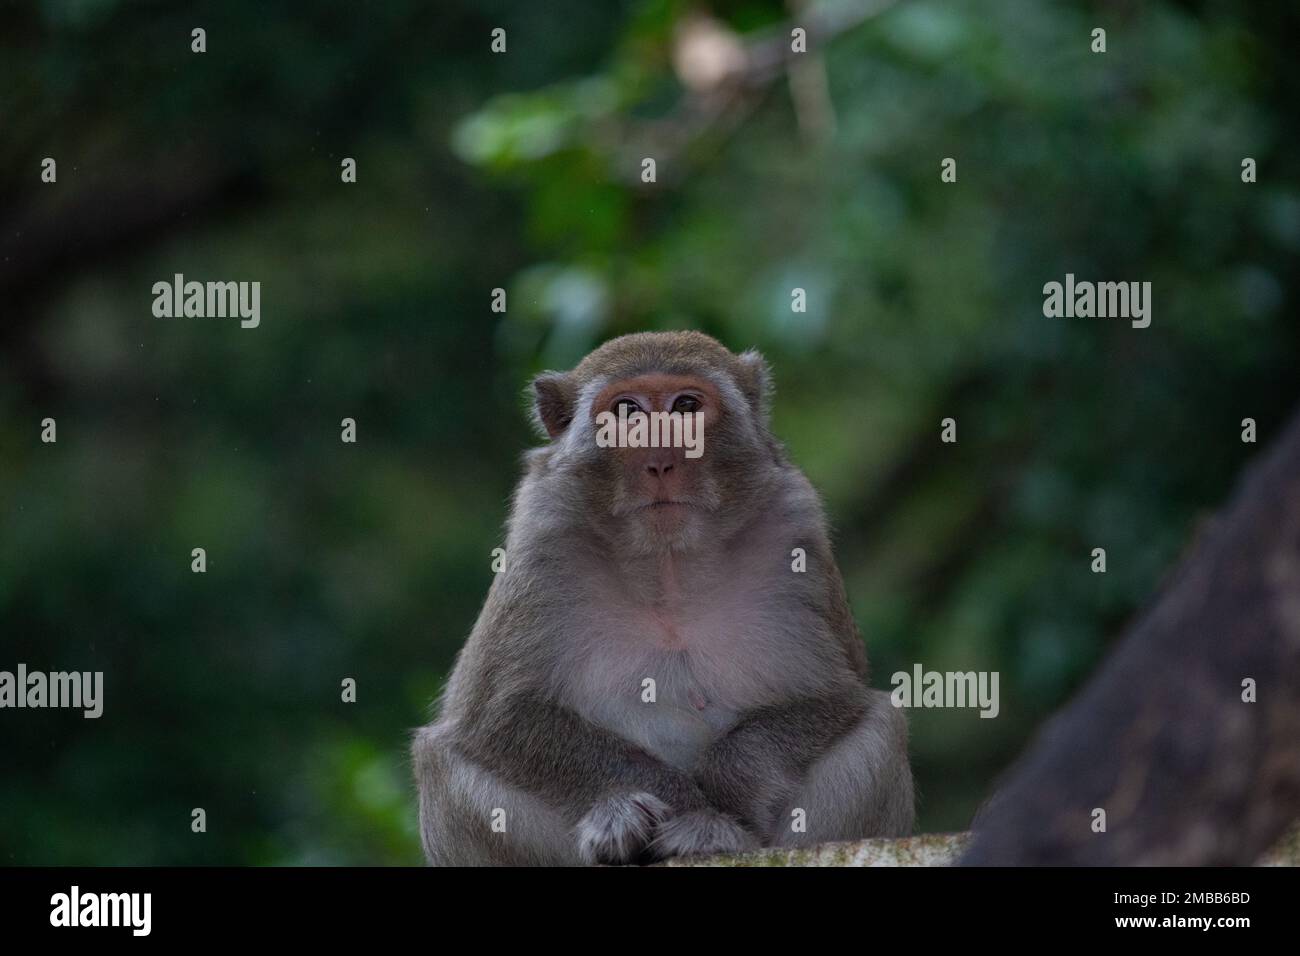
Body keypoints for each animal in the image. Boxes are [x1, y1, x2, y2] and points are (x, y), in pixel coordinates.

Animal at [413, 331, 913, 865]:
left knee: (882, 726)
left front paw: (711, 816)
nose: (660, 459)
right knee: (439, 759)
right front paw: (661, 809)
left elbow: (833, 698)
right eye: (627, 410)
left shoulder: (795, 531)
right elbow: (498, 716)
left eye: (687, 406)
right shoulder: (541, 540)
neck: (667, 569)